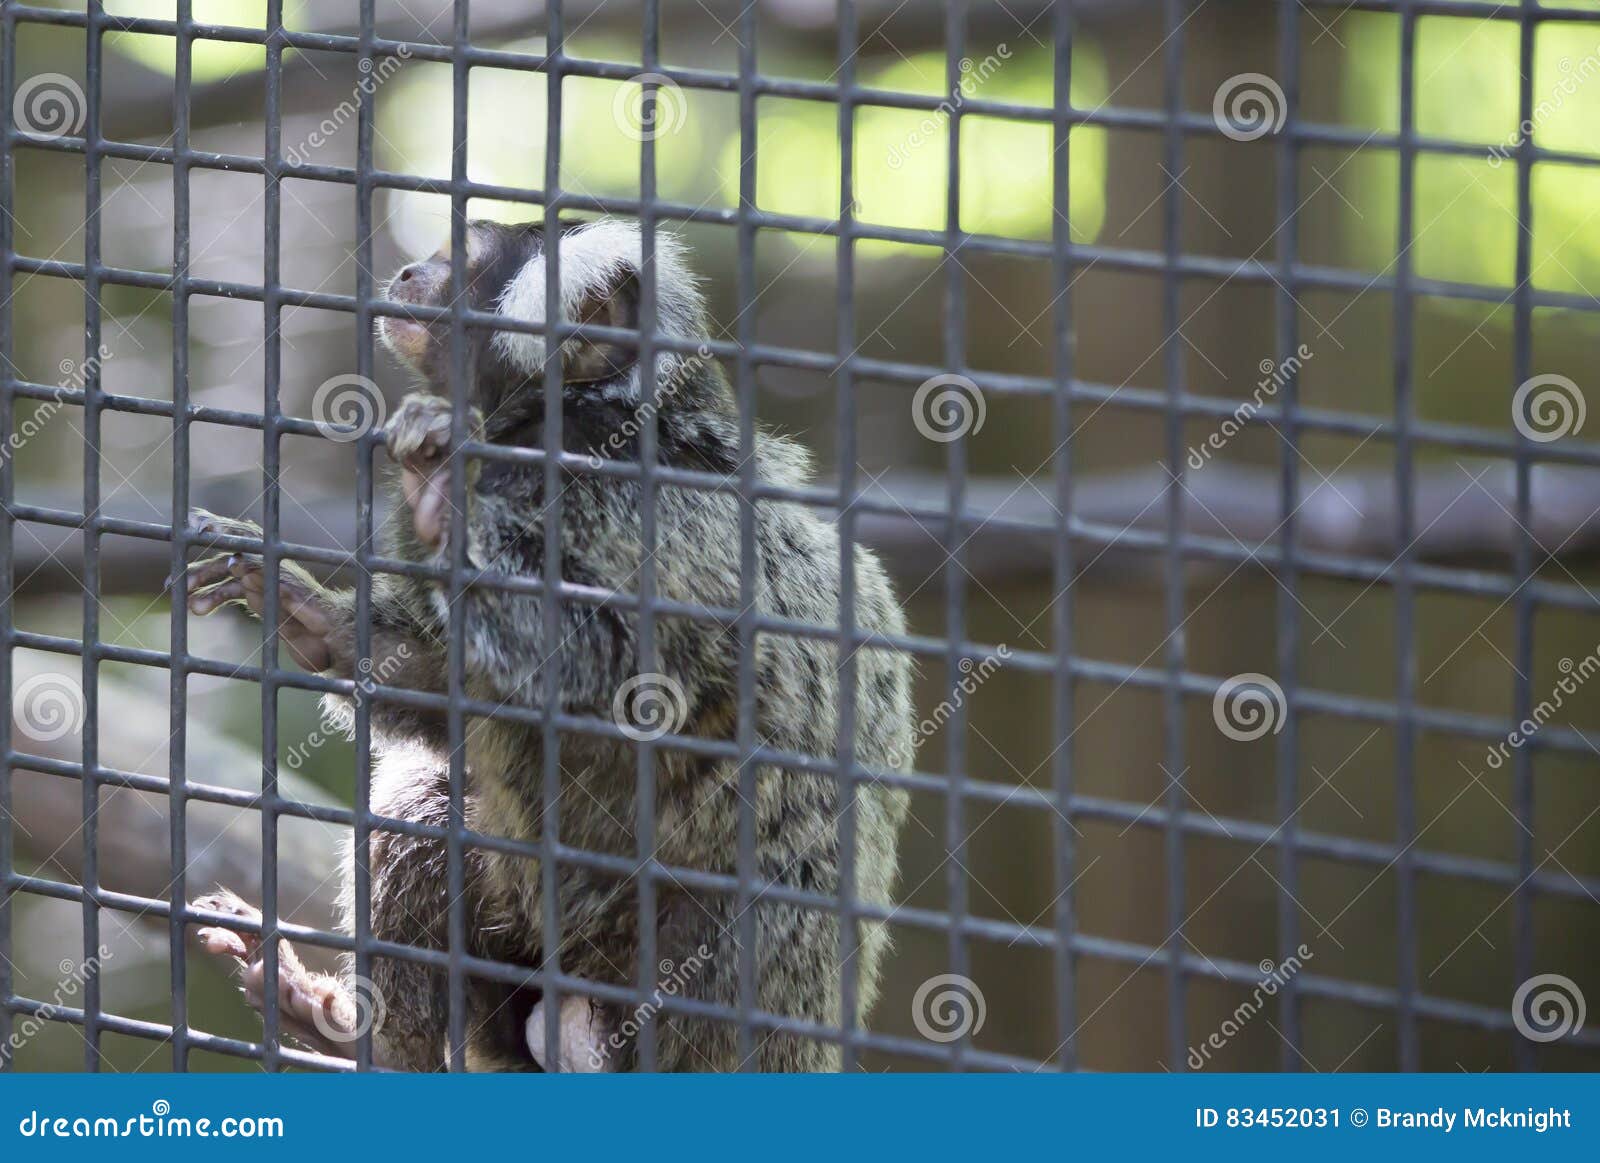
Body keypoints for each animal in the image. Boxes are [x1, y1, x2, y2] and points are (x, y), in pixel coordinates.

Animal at [181, 217, 915, 1072]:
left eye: (461, 260)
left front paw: (446, 500)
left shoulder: (634, 508)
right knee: (429, 801)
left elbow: (602, 667)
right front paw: (307, 613)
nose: (407, 271)